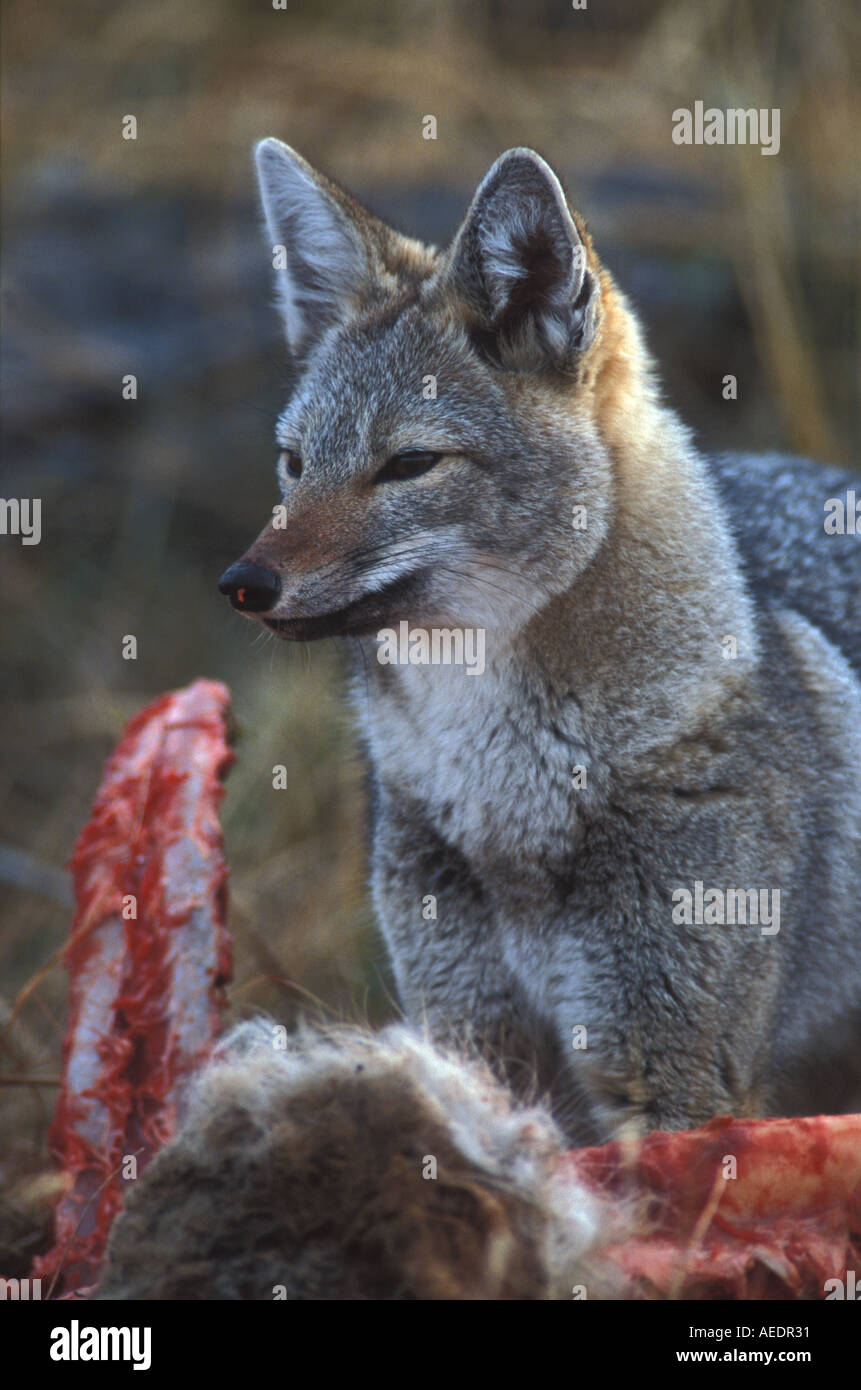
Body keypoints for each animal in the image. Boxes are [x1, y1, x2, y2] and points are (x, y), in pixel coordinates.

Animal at [219, 140, 861, 1146]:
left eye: (409, 464)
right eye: (294, 464)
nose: (243, 584)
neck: (502, 798)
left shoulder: (675, 1079)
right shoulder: (472, 1037)